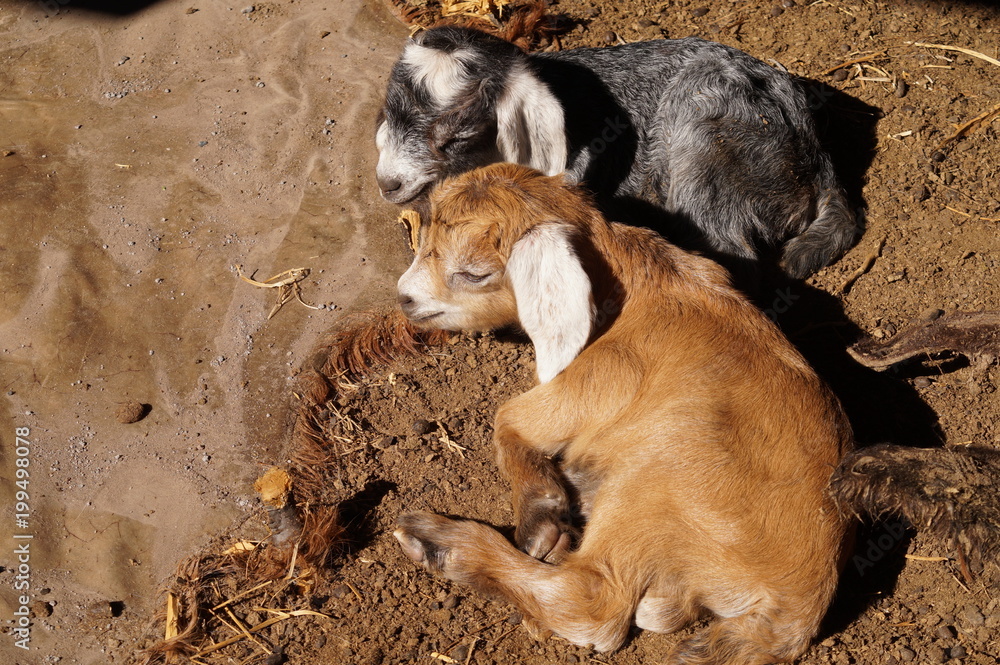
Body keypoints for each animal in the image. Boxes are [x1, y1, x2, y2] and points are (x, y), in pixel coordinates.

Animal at [392, 163, 854, 664]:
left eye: (474, 274)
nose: (404, 298)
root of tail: (795, 608)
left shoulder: (593, 383)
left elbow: (507, 417)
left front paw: (540, 519)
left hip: (650, 489)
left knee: (594, 602)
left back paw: (435, 540)